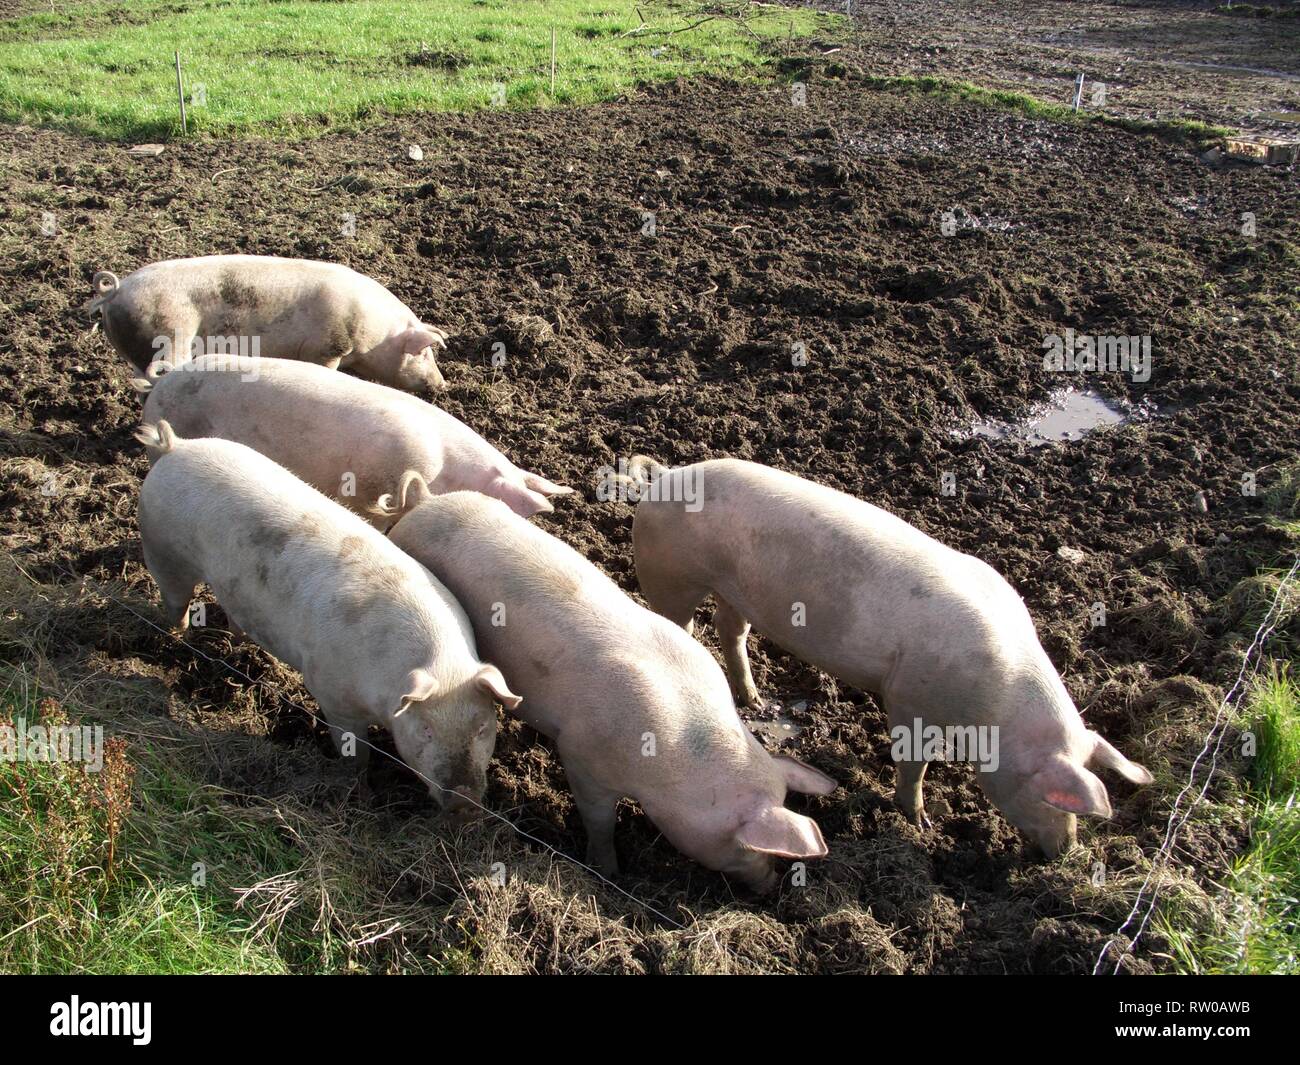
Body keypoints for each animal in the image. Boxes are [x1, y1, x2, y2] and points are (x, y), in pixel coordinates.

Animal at [88, 255, 449, 390]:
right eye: (425, 353)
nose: (443, 384)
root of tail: (115, 290)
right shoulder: (327, 347)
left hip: (138, 351)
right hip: (170, 335)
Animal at [134, 420, 520, 816]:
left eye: (482, 728)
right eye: (426, 730)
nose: (465, 803)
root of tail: (174, 447)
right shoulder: (330, 692)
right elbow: (355, 753)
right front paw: (360, 794)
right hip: (162, 547)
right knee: (175, 601)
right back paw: (177, 639)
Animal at [385, 479, 836, 892]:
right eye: (747, 848)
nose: (772, 886)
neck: (678, 759)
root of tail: (426, 502)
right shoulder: (582, 758)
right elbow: (600, 821)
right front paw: (608, 872)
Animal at [626, 457, 1153, 859]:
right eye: (1058, 802)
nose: (1066, 853)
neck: (993, 712)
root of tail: (664, 478)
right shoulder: (907, 696)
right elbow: (913, 759)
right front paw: (918, 823)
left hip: (731, 590)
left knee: (731, 632)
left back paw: (754, 701)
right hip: (669, 577)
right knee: (684, 626)